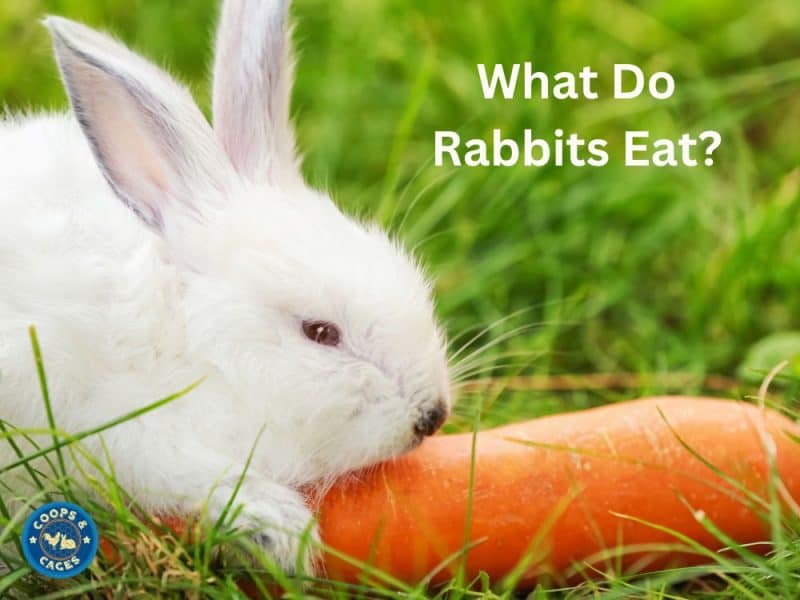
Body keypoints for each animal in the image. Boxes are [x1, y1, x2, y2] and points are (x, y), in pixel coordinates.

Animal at [0, 0, 451, 574]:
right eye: (320, 332)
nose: (432, 415)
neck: (194, 341)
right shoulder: (128, 433)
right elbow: (199, 479)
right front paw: (286, 534)